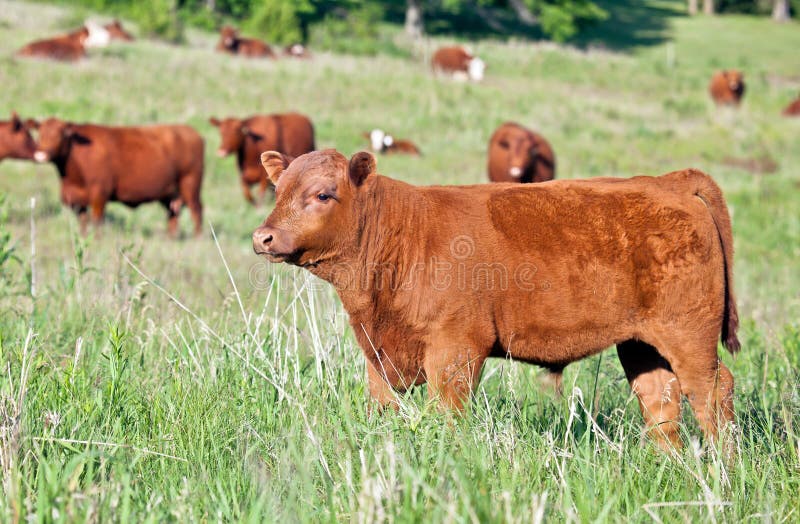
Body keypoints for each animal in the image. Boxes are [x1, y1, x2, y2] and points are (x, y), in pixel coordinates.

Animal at [30, 119, 206, 236]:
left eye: (62, 135)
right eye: (40, 134)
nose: (41, 154)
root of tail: (190, 131)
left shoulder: (99, 194)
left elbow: (97, 220)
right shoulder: (77, 201)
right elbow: (83, 222)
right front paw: (83, 238)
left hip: (190, 184)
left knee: (196, 210)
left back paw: (197, 238)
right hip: (169, 193)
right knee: (173, 215)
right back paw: (171, 238)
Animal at [253, 149, 740, 452]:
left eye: (322, 194)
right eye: (278, 191)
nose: (263, 237)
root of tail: (669, 182)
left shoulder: (456, 349)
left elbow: (447, 412)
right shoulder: (378, 354)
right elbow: (383, 407)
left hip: (689, 335)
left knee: (712, 391)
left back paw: (723, 469)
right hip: (641, 343)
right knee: (660, 398)